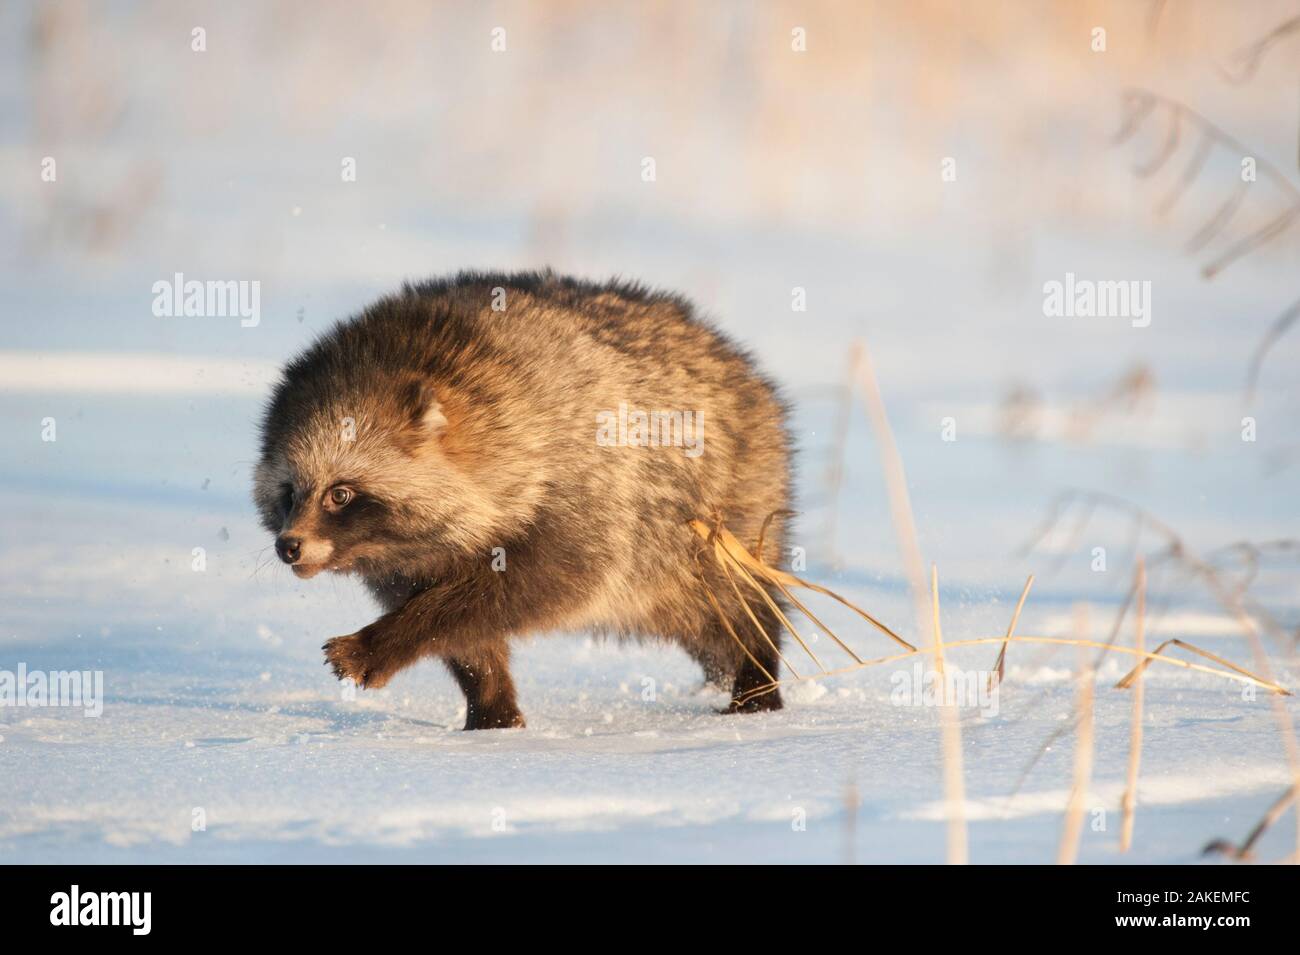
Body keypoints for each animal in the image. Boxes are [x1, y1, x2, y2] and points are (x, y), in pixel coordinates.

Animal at [253, 271, 793, 729]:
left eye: (340, 493)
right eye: (289, 492)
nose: (289, 546)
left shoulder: (585, 489)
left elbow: (527, 588)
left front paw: (388, 639)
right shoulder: (405, 562)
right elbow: (469, 637)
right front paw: (492, 707)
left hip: (724, 513)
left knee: (732, 602)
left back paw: (755, 676)